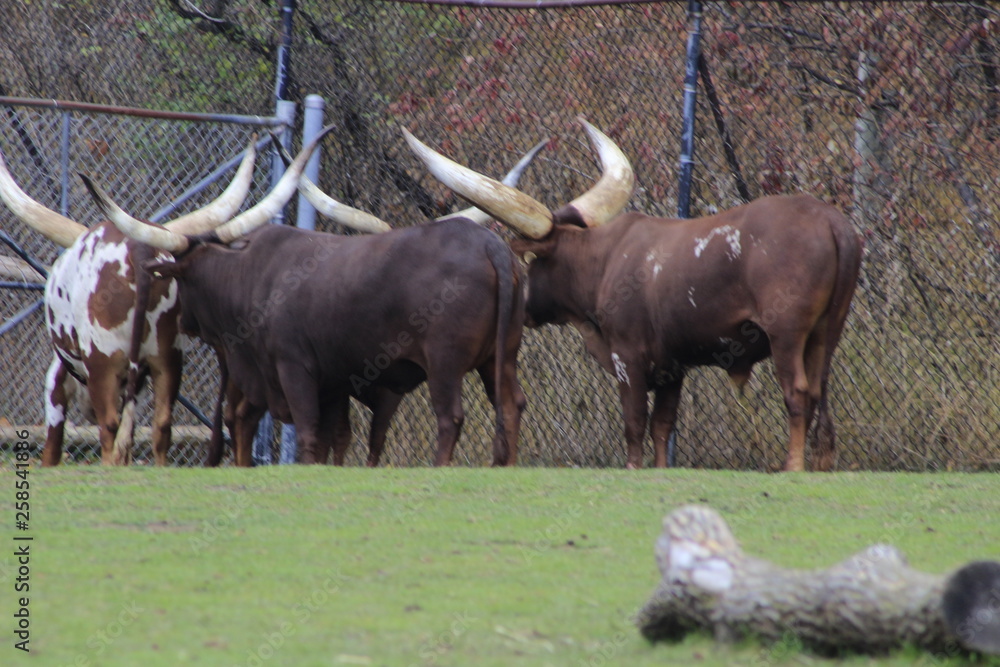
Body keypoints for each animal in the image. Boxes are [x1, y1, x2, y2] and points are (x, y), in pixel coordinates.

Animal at [0, 137, 259, 465]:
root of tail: (140, 247)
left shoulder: (59, 381)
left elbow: (53, 445)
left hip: (103, 361)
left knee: (110, 426)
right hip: (168, 359)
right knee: (161, 425)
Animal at [82, 125, 529, 467]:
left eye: (180, 280)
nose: (186, 320)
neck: (248, 275)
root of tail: (490, 245)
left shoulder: (294, 369)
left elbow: (309, 433)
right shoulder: (330, 383)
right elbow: (332, 435)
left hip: (444, 362)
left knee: (450, 416)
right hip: (500, 358)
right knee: (510, 406)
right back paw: (503, 466)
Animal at [403, 117, 863, 471]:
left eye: (533, 260)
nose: (527, 307)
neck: (604, 260)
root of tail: (832, 223)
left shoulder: (628, 355)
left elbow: (634, 421)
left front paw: (632, 468)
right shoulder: (674, 367)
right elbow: (662, 424)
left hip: (788, 334)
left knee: (798, 391)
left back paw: (792, 466)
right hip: (828, 333)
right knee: (819, 389)